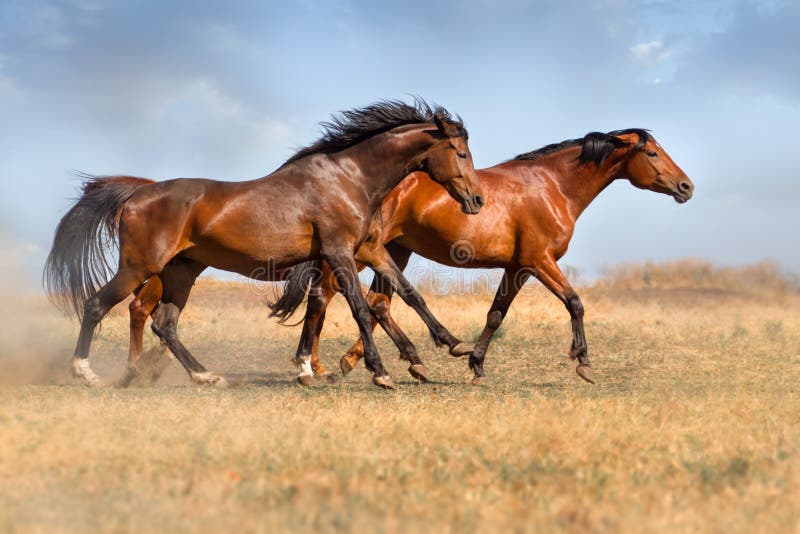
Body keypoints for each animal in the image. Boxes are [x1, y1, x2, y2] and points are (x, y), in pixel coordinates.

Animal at [44, 99, 484, 390]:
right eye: (461, 152)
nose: (477, 200)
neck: (348, 178)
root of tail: (136, 195)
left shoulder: (368, 251)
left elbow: (408, 296)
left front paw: (448, 347)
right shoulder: (339, 253)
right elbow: (360, 308)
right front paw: (381, 372)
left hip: (182, 271)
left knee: (164, 324)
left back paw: (204, 375)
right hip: (139, 267)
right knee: (98, 306)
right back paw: (87, 373)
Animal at [278, 128, 694, 384]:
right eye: (652, 152)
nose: (686, 186)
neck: (551, 186)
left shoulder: (519, 267)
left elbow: (496, 313)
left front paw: (476, 366)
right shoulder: (541, 261)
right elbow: (574, 302)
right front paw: (584, 363)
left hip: (395, 251)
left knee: (377, 303)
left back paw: (397, 362)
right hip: (360, 252)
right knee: (324, 296)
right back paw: (314, 367)